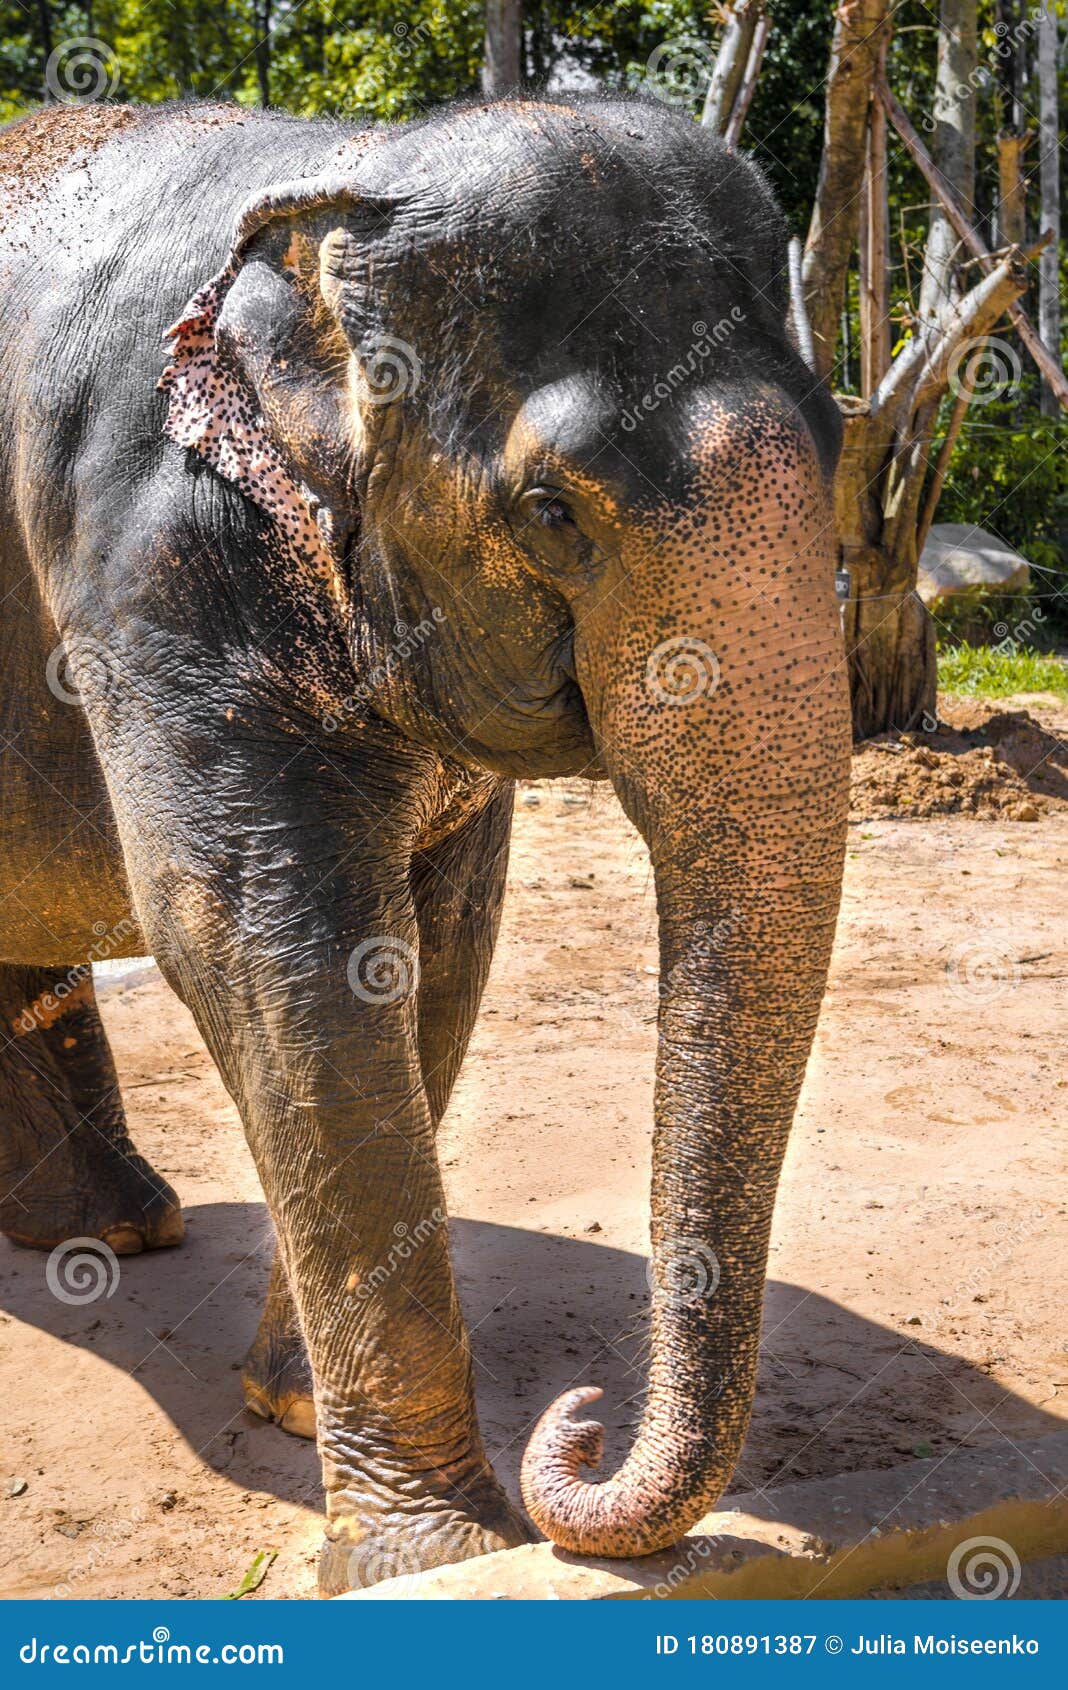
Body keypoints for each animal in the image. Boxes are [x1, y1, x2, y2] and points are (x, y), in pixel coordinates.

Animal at [0, 92, 850, 1593]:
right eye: (554, 512)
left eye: (844, 449)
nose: (583, 1420)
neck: (343, 169)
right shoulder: (156, 552)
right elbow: (256, 938)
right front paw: (432, 1553)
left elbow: (437, 938)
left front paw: (290, 1409)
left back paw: (112, 1231)